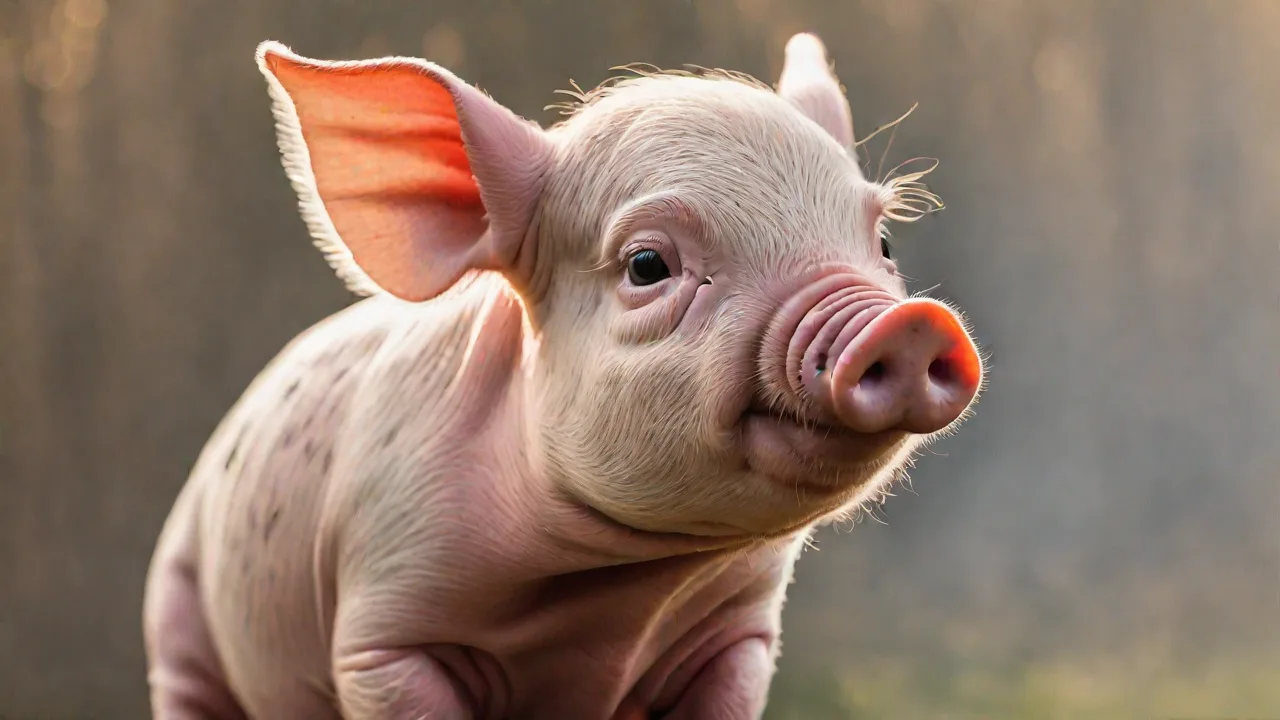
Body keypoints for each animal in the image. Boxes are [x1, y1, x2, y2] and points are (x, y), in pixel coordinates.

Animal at [142, 32, 984, 720]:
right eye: (646, 264)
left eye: (882, 242)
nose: (909, 322)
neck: (606, 599)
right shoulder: (382, 638)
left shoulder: (739, 640)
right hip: (179, 618)